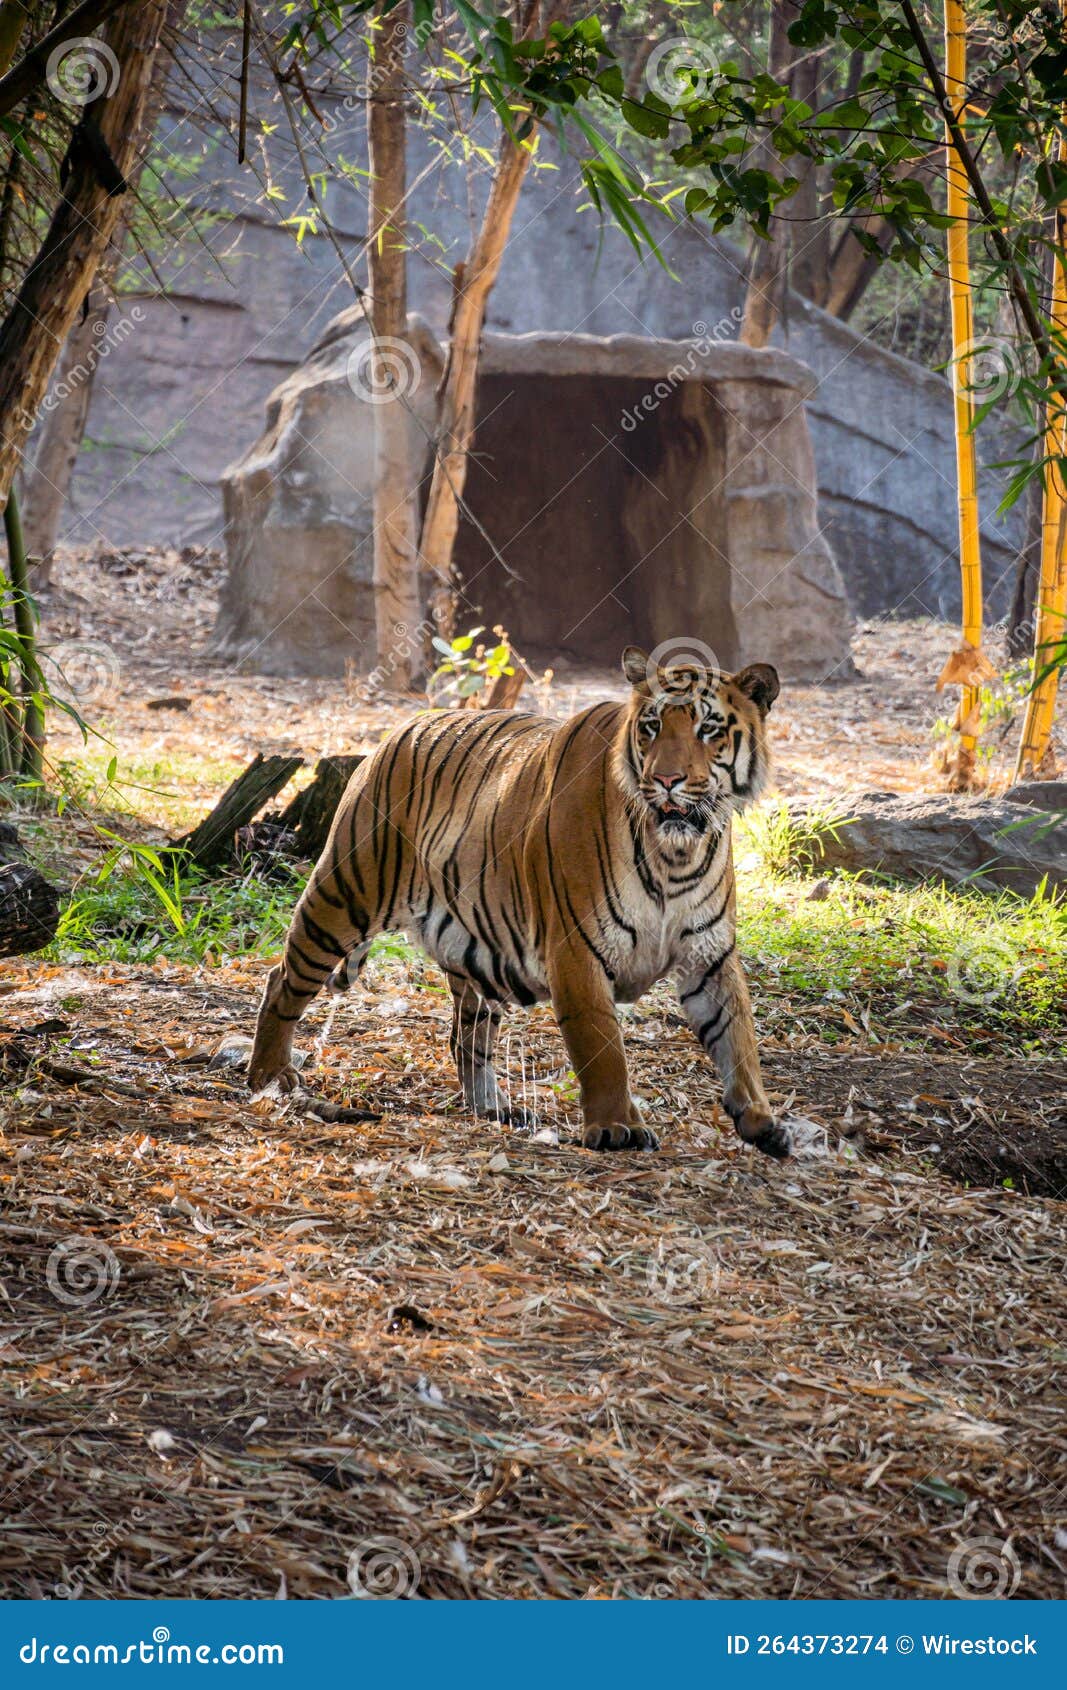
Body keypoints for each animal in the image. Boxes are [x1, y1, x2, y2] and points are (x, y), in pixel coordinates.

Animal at [248, 644, 790, 1160]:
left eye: (708, 728)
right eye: (652, 727)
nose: (666, 780)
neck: (676, 854)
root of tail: (401, 728)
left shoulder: (710, 955)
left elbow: (738, 1039)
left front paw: (761, 1121)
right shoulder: (577, 951)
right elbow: (603, 1048)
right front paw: (618, 1127)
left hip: (477, 951)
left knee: (466, 1035)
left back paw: (493, 1106)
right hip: (345, 893)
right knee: (282, 980)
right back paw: (269, 1076)